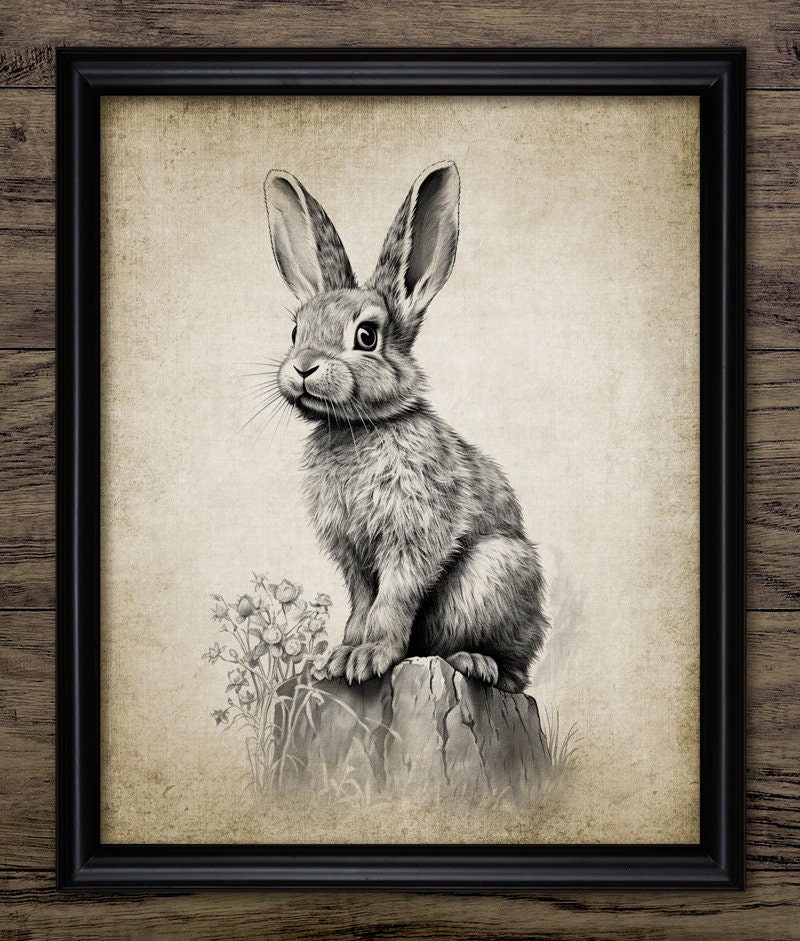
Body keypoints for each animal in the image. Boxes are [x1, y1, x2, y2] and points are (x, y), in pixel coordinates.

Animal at [263, 160, 547, 692]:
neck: (359, 427)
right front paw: (342, 655)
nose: (304, 367)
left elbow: (393, 599)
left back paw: (477, 662)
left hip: (495, 573)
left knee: (511, 671)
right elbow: (361, 603)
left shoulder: (413, 536)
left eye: (366, 336)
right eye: (295, 331)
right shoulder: (352, 555)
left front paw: (369, 657)